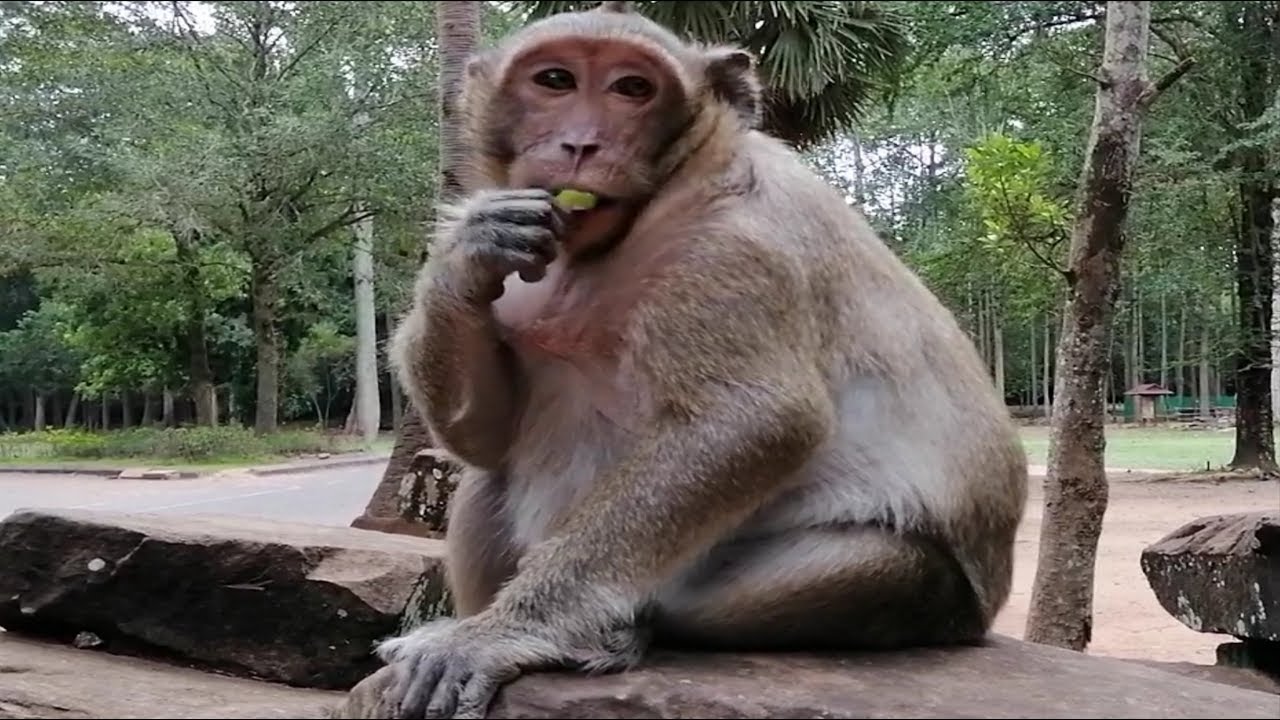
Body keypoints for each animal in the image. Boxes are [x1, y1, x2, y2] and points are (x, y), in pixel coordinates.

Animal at [377, 2, 1029, 718]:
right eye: (555, 80)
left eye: (632, 88)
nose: (582, 143)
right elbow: (486, 435)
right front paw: (465, 257)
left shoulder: (732, 249)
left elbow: (755, 420)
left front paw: (498, 636)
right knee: (488, 476)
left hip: (924, 597)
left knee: (868, 561)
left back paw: (609, 632)